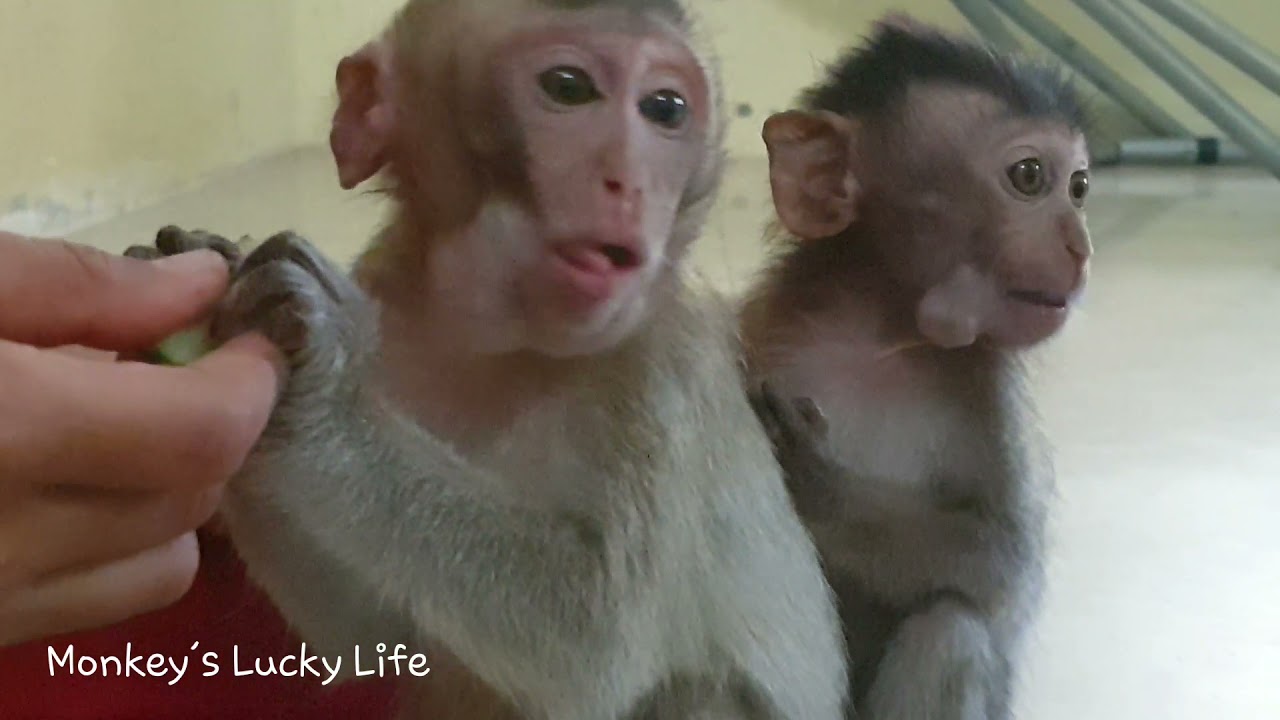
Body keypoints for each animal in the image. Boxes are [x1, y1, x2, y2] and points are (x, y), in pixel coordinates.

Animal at [126, 1, 850, 718]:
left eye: (665, 109)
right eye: (568, 87)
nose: (629, 182)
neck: (503, 340)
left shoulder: (666, 370)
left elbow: (595, 631)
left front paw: (322, 390)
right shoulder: (387, 289)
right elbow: (364, 637)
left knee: (696, 694)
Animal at [737, 16, 1093, 720]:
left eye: (1080, 188)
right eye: (1030, 176)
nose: (1080, 246)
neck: (877, 335)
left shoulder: (991, 392)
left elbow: (1002, 568)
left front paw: (819, 483)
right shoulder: (750, 328)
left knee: (950, 631)